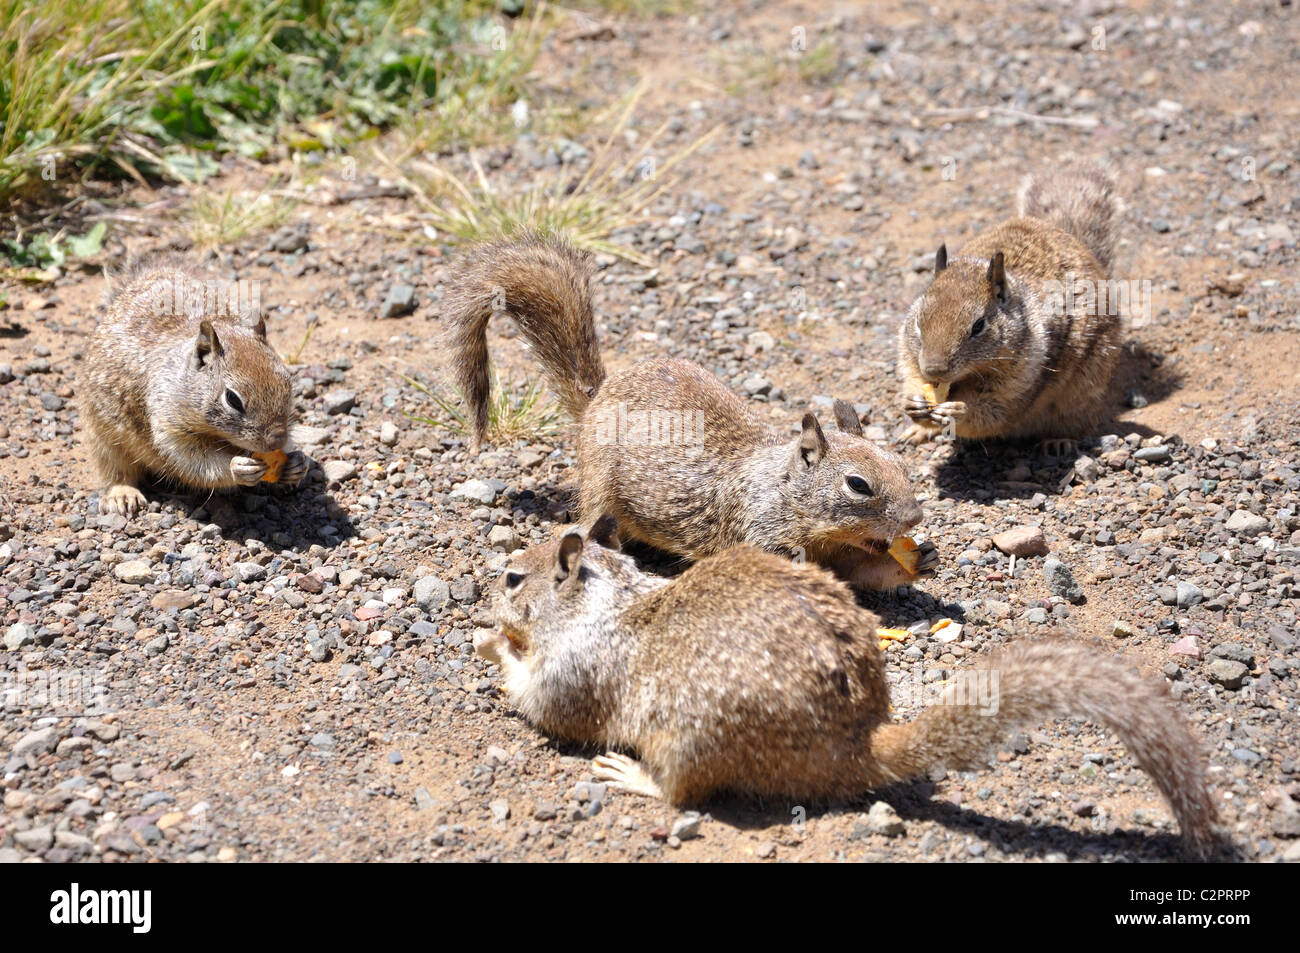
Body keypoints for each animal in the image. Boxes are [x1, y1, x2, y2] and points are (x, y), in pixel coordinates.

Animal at [78, 258, 309, 515]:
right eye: (232, 399)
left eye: (288, 384)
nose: (277, 440)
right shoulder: (169, 426)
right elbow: (192, 462)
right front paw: (237, 467)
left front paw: (297, 462)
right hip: (102, 438)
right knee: (114, 471)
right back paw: (123, 495)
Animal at [446, 233, 937, 591]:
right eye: (858, 485)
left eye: (902, 465)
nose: (915, 518)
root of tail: (598, 397)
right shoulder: (760, 534)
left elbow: (866, 572)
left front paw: (921, 558)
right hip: (601, 485)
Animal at [475, 517, 1218, 852]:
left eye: (513, 577)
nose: (488, 592)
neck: (604, 601)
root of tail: (858, 745)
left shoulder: (575, 669)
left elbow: (542, 702)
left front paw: (492, 643)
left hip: (690, 736)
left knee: (683, 792)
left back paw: (631, 775)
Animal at [897, 160, 1125, 444]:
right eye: (918, 322)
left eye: (978, 326)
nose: (934, 370)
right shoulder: (909, 356)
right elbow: (913, 377)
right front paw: (914, 404)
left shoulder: (1021, 380)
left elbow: (993, 414)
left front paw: (958, 410)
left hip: (1085, 389)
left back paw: (1060, 442)